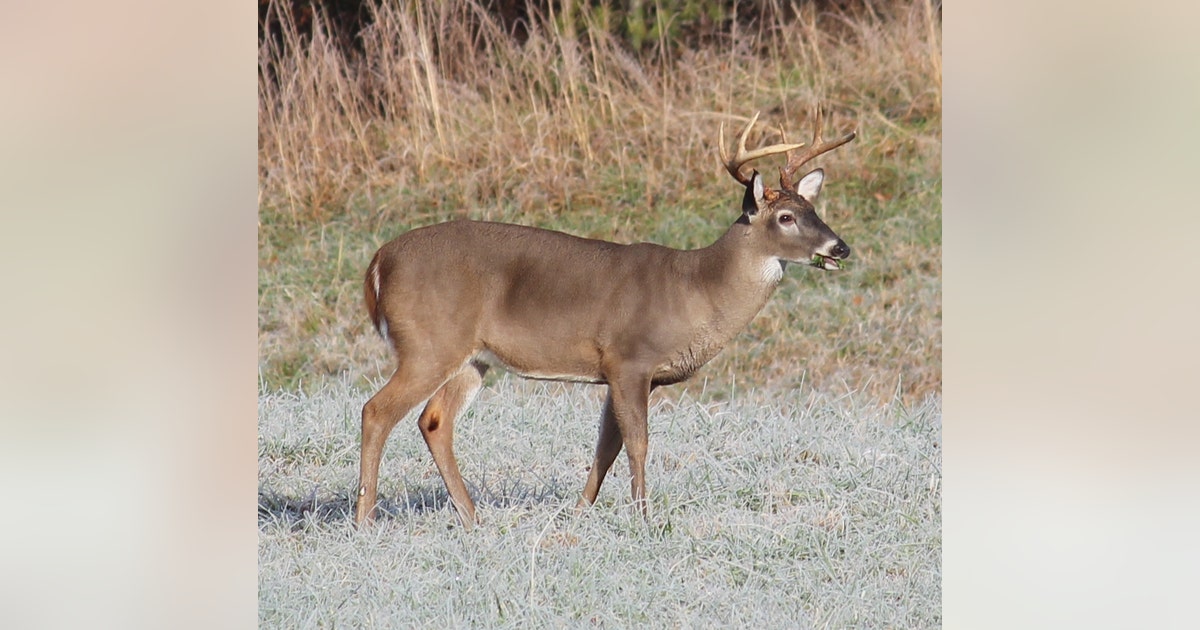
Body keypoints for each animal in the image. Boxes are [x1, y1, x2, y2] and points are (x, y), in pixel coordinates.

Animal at [356, 108, 856, 529]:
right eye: (786, 217)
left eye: (815, 210)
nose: (840, 247)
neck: (696, 290)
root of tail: (378, 263)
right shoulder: (629, 358)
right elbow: (638, 442)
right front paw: (645, 519)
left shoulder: (624, 373)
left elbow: (606, 446)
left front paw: (580, 514)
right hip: (428, 342)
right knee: (376, 410)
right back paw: (366, 519)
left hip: (471, 357)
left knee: (434, 420)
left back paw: (472, 518)